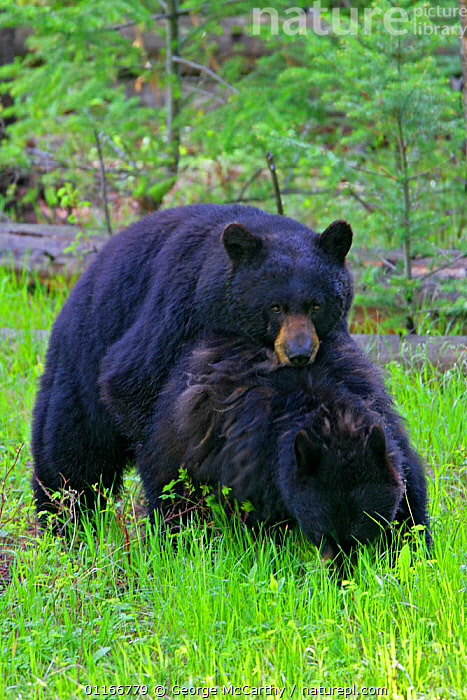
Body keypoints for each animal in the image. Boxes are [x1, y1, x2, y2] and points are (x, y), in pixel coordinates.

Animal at [32, 204, 355, 520]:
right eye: (276, 307)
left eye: (316, 305)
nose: (300, 352)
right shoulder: (177, 311)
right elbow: (133, 383)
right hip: (82, 358)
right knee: (71, 450)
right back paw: (62, 516)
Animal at [137, 336, 430, 558]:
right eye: (323, 533)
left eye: (362, 533)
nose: (344, 577)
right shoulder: (254, 467)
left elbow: (410, 505)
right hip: (174, 458)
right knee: (171, 506)